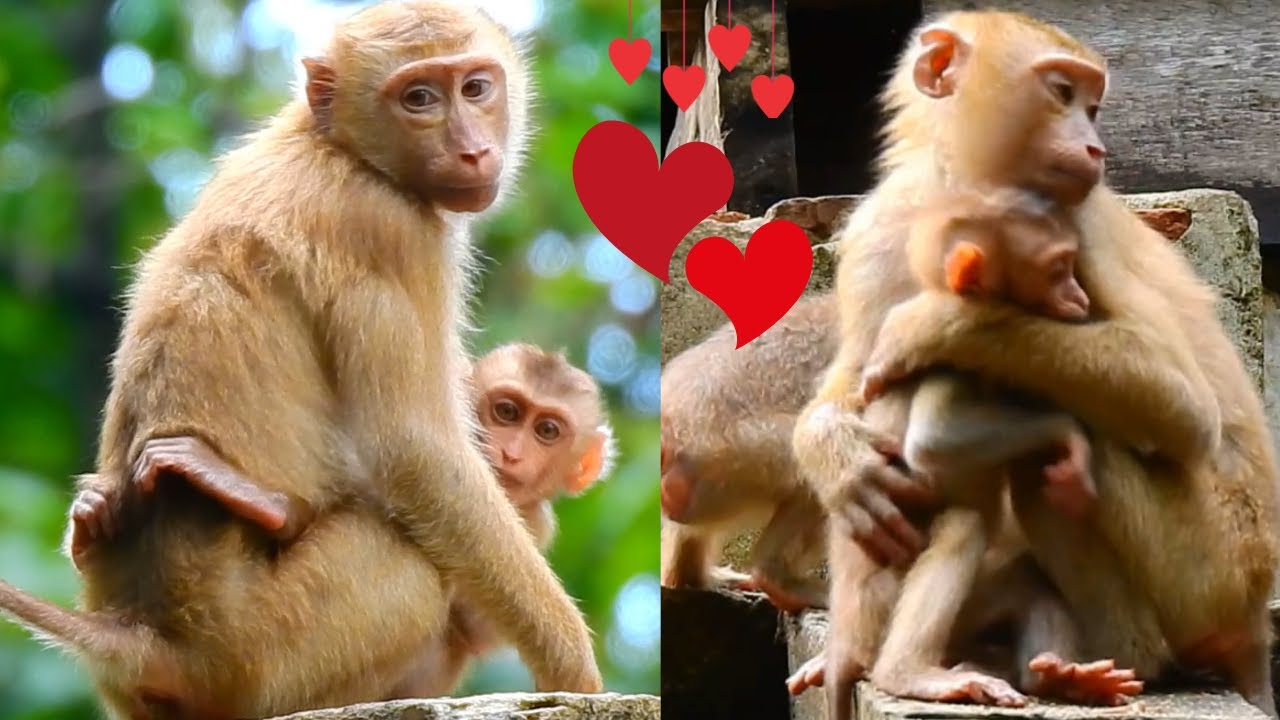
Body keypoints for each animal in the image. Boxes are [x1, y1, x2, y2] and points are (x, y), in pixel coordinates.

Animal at [0, 4, 605, 719]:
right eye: (419, 99)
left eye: (476, 87)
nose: (472, 149)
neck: (333, 145)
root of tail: (153, 640)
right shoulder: (391, 230)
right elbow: (416, 454)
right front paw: (572, 668)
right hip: (268, 653)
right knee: (409, 567)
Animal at [791, 9, 1277, 719]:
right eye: (1062, 93)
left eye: (1092, 105)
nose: (1095, 147)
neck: (953, 185)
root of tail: (1255, 617)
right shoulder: (879, 227)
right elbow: (853, 386)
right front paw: (840, 461)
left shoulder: (1082, 222)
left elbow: (1181, 403)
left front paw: (938, 324)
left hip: (1209, 571)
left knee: (1062, 454)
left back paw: (1112, 661)